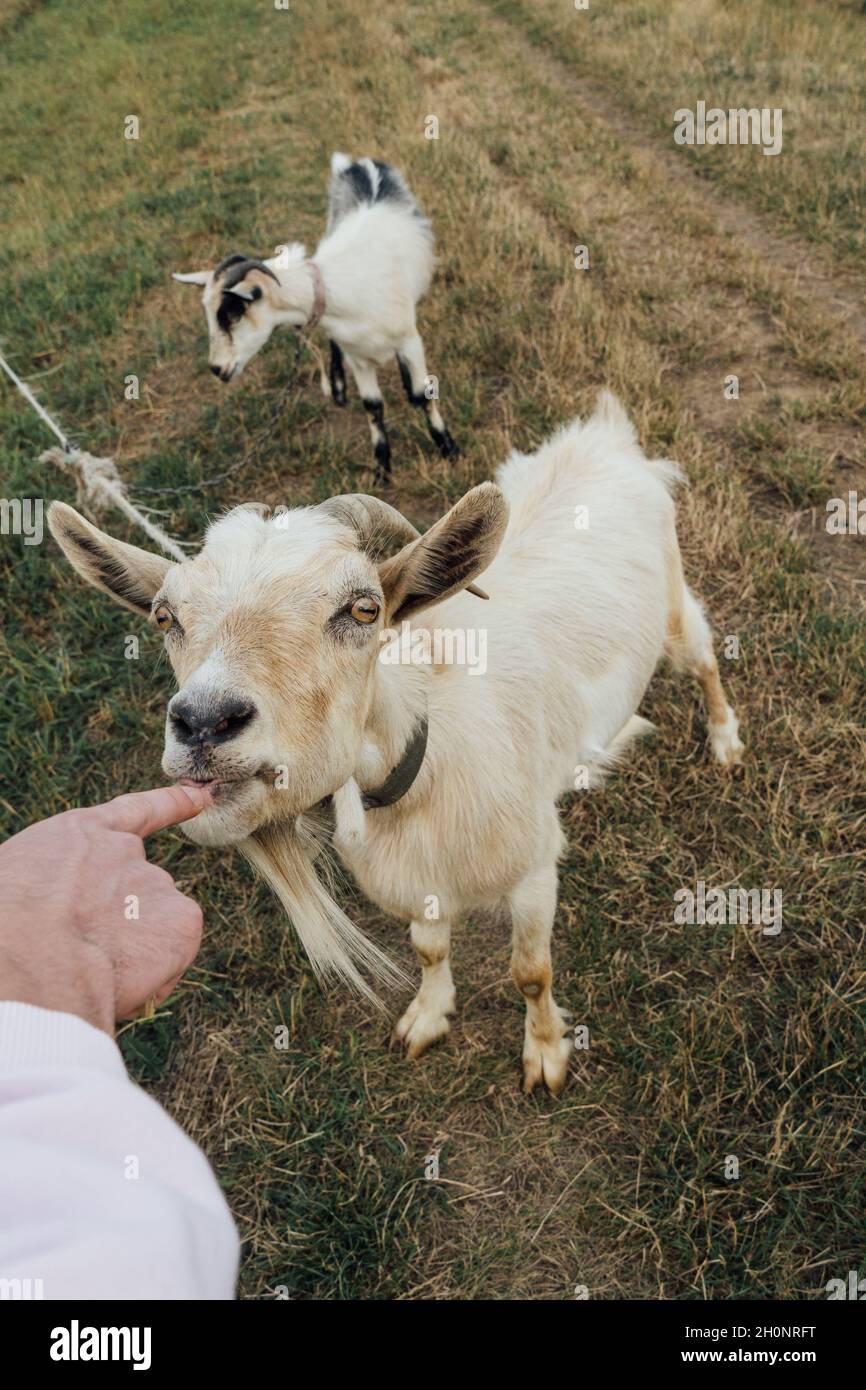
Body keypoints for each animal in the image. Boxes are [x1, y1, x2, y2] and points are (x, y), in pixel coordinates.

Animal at [47, 391, 743, 1094]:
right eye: (165, 616)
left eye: (364, 608)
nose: (203, 722)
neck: (427, 759)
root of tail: (602, 434)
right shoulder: (418, 881)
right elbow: (428, 948)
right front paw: (427, 1017)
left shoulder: (533, 866)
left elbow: (530, 972)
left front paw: (546, 1054)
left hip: (675, 606)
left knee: (706, 656)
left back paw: (724, 741)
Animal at [172, 153, 458, 482]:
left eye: (232, 313)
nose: (217, 369)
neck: (338, 293)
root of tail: (360, 163)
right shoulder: (357, 357)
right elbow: (372, 406)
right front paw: (382, 468)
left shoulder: (410, 340)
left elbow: (422, 394)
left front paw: (448, 447)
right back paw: (338, 387)